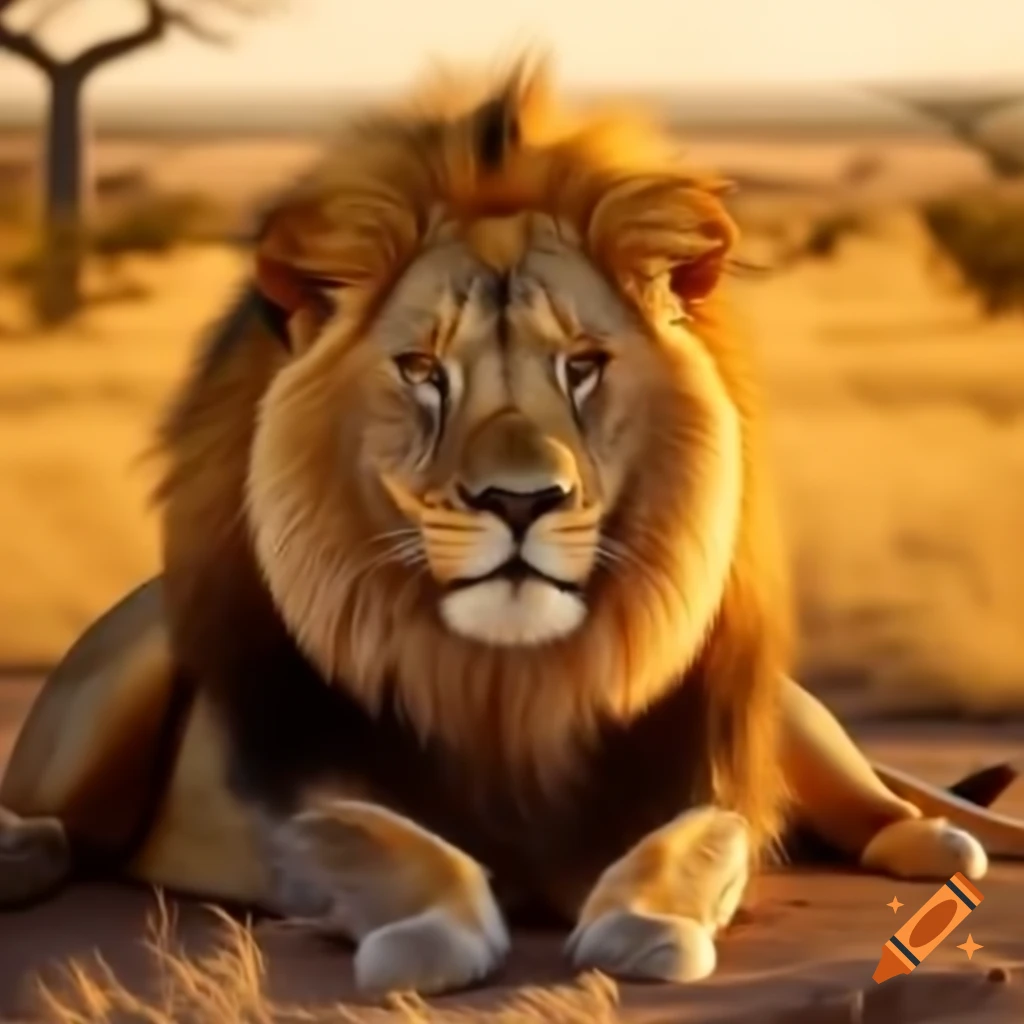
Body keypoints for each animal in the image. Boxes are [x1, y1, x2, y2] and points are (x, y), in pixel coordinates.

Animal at [2, 60, 1023, 997]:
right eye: (423, 371)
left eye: (582, 366)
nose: (522, 500)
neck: (512, 685)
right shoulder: (291, 804)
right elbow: (386, 842)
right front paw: (434, 936)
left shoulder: (707, 784)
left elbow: (698, 840)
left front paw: (644, 922)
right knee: (59, 824)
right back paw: (21, 854)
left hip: (802, 730)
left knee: (885, 811)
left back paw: (936, 840)